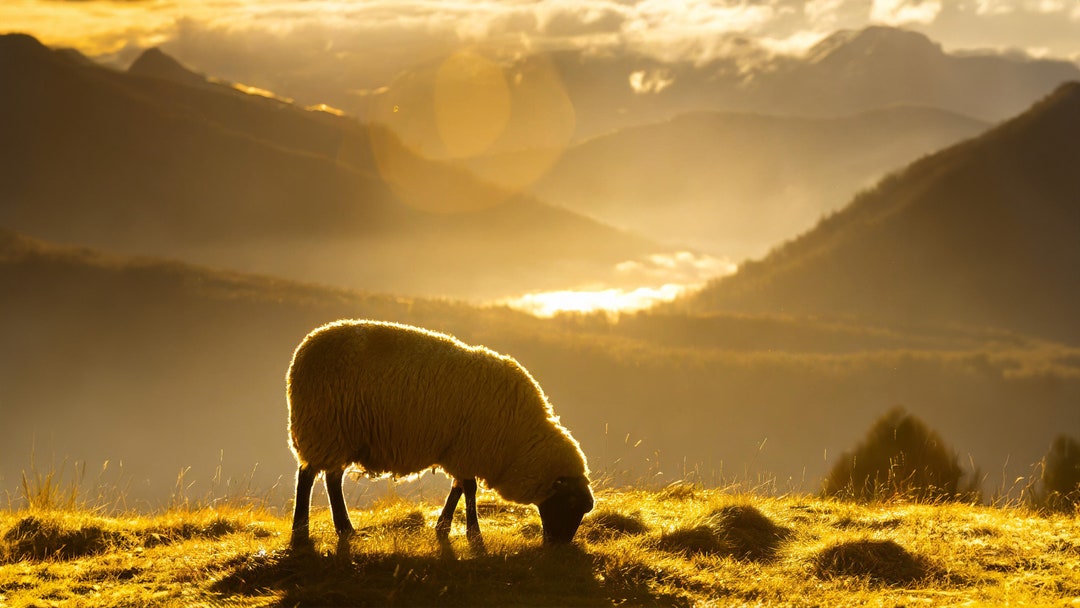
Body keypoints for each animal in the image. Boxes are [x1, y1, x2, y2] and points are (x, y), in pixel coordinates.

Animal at [287, 319, 594, 546]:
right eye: (570, 503)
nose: (560, 546)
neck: (519, 443)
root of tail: (304, 349)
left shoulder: (458, 450)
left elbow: (458, 487)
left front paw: (443, 527)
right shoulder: (469, 448)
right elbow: (469, 489)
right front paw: (473, 534)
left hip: (337, 435)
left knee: (331, 478)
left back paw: (344, 529)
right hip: (322, 428)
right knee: (308, 476)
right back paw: (302, 532)